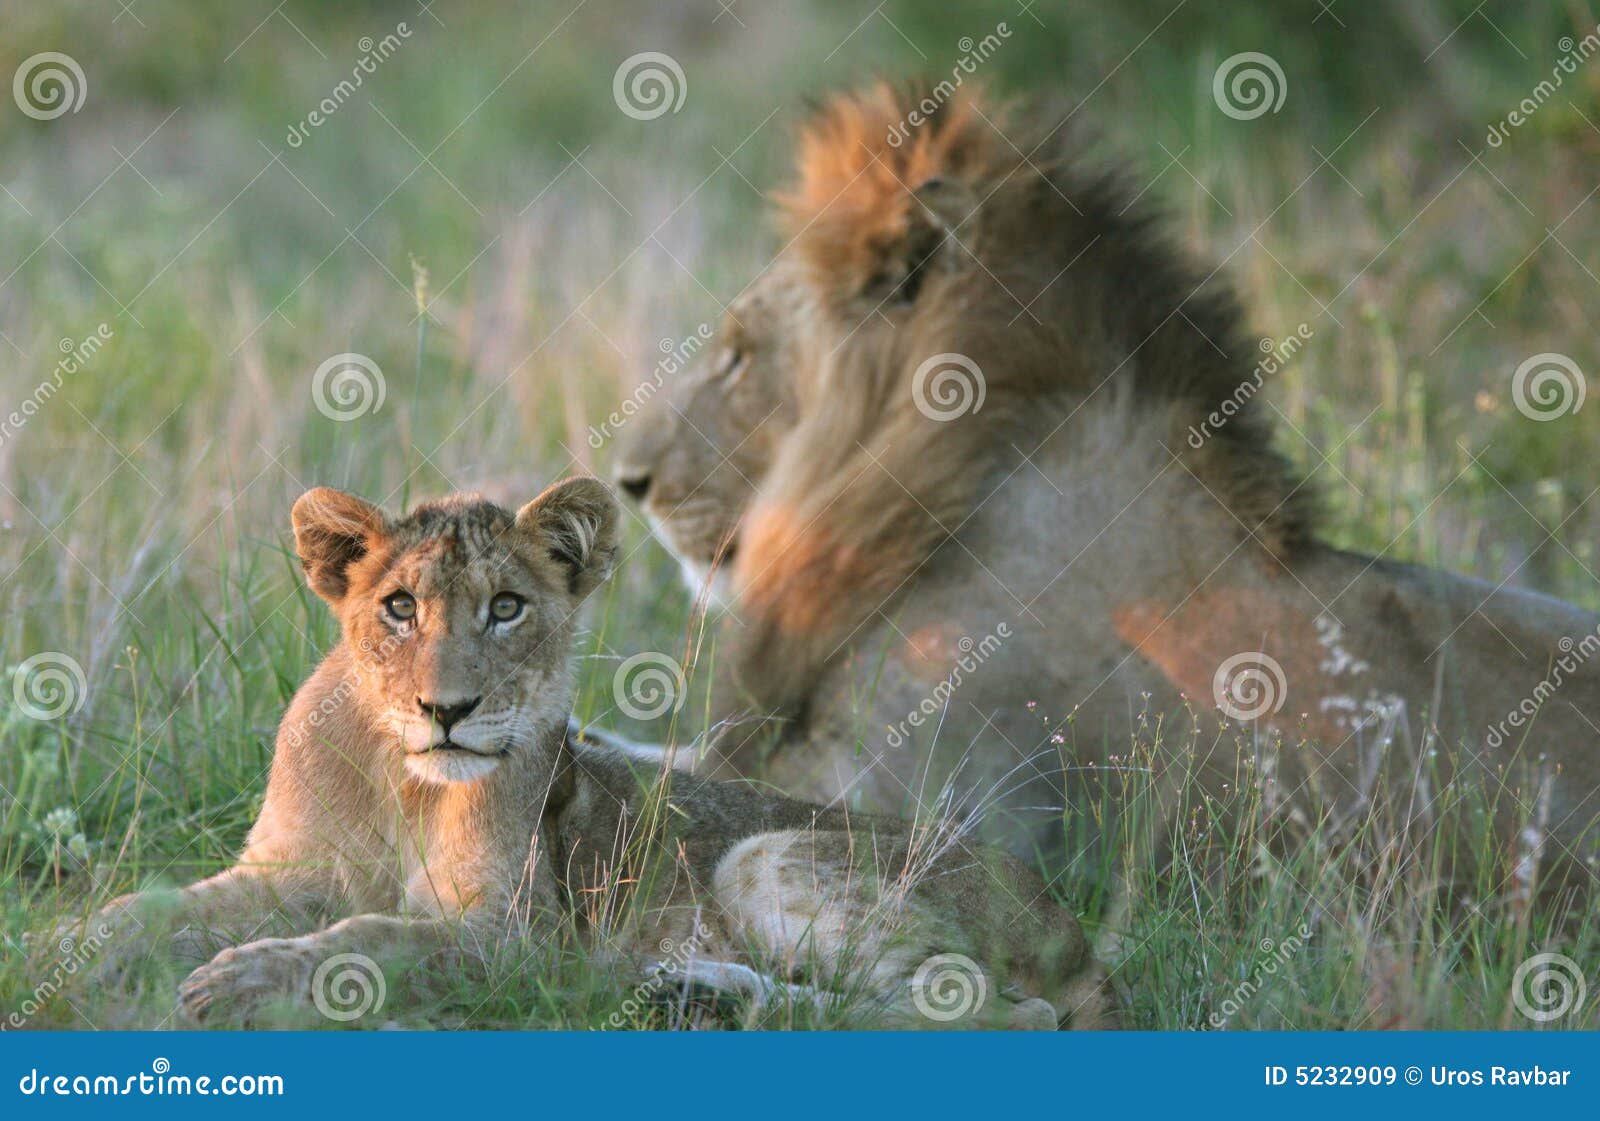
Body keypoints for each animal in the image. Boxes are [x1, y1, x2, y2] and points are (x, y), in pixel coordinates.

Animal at [51, 477, 1115, 1030]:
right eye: (398, 607)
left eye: (506, 607)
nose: (448, 709)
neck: (404, 781)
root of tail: (1066, 921)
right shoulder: (292, 867)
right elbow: (165, 905)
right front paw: (69, 948)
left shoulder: (515, 936)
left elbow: (370, 937)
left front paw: (236, 981)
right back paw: (692, 986)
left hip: (765, 853)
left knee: (994, 1012)